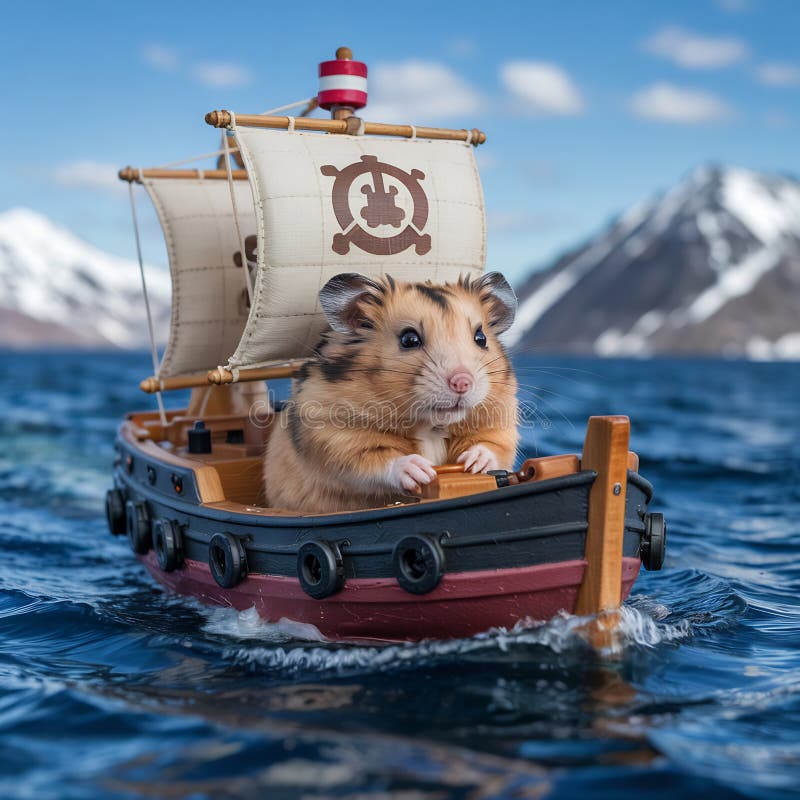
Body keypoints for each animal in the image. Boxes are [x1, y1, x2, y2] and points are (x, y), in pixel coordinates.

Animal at [263, 271, 519, 513]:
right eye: (409, 339)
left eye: (480, 338)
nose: (463, 382)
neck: (432, 425)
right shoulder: (335, 437)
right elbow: (376, 461)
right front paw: (421, 471)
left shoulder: (501, 424)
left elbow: (492, 445)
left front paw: (474, 463)